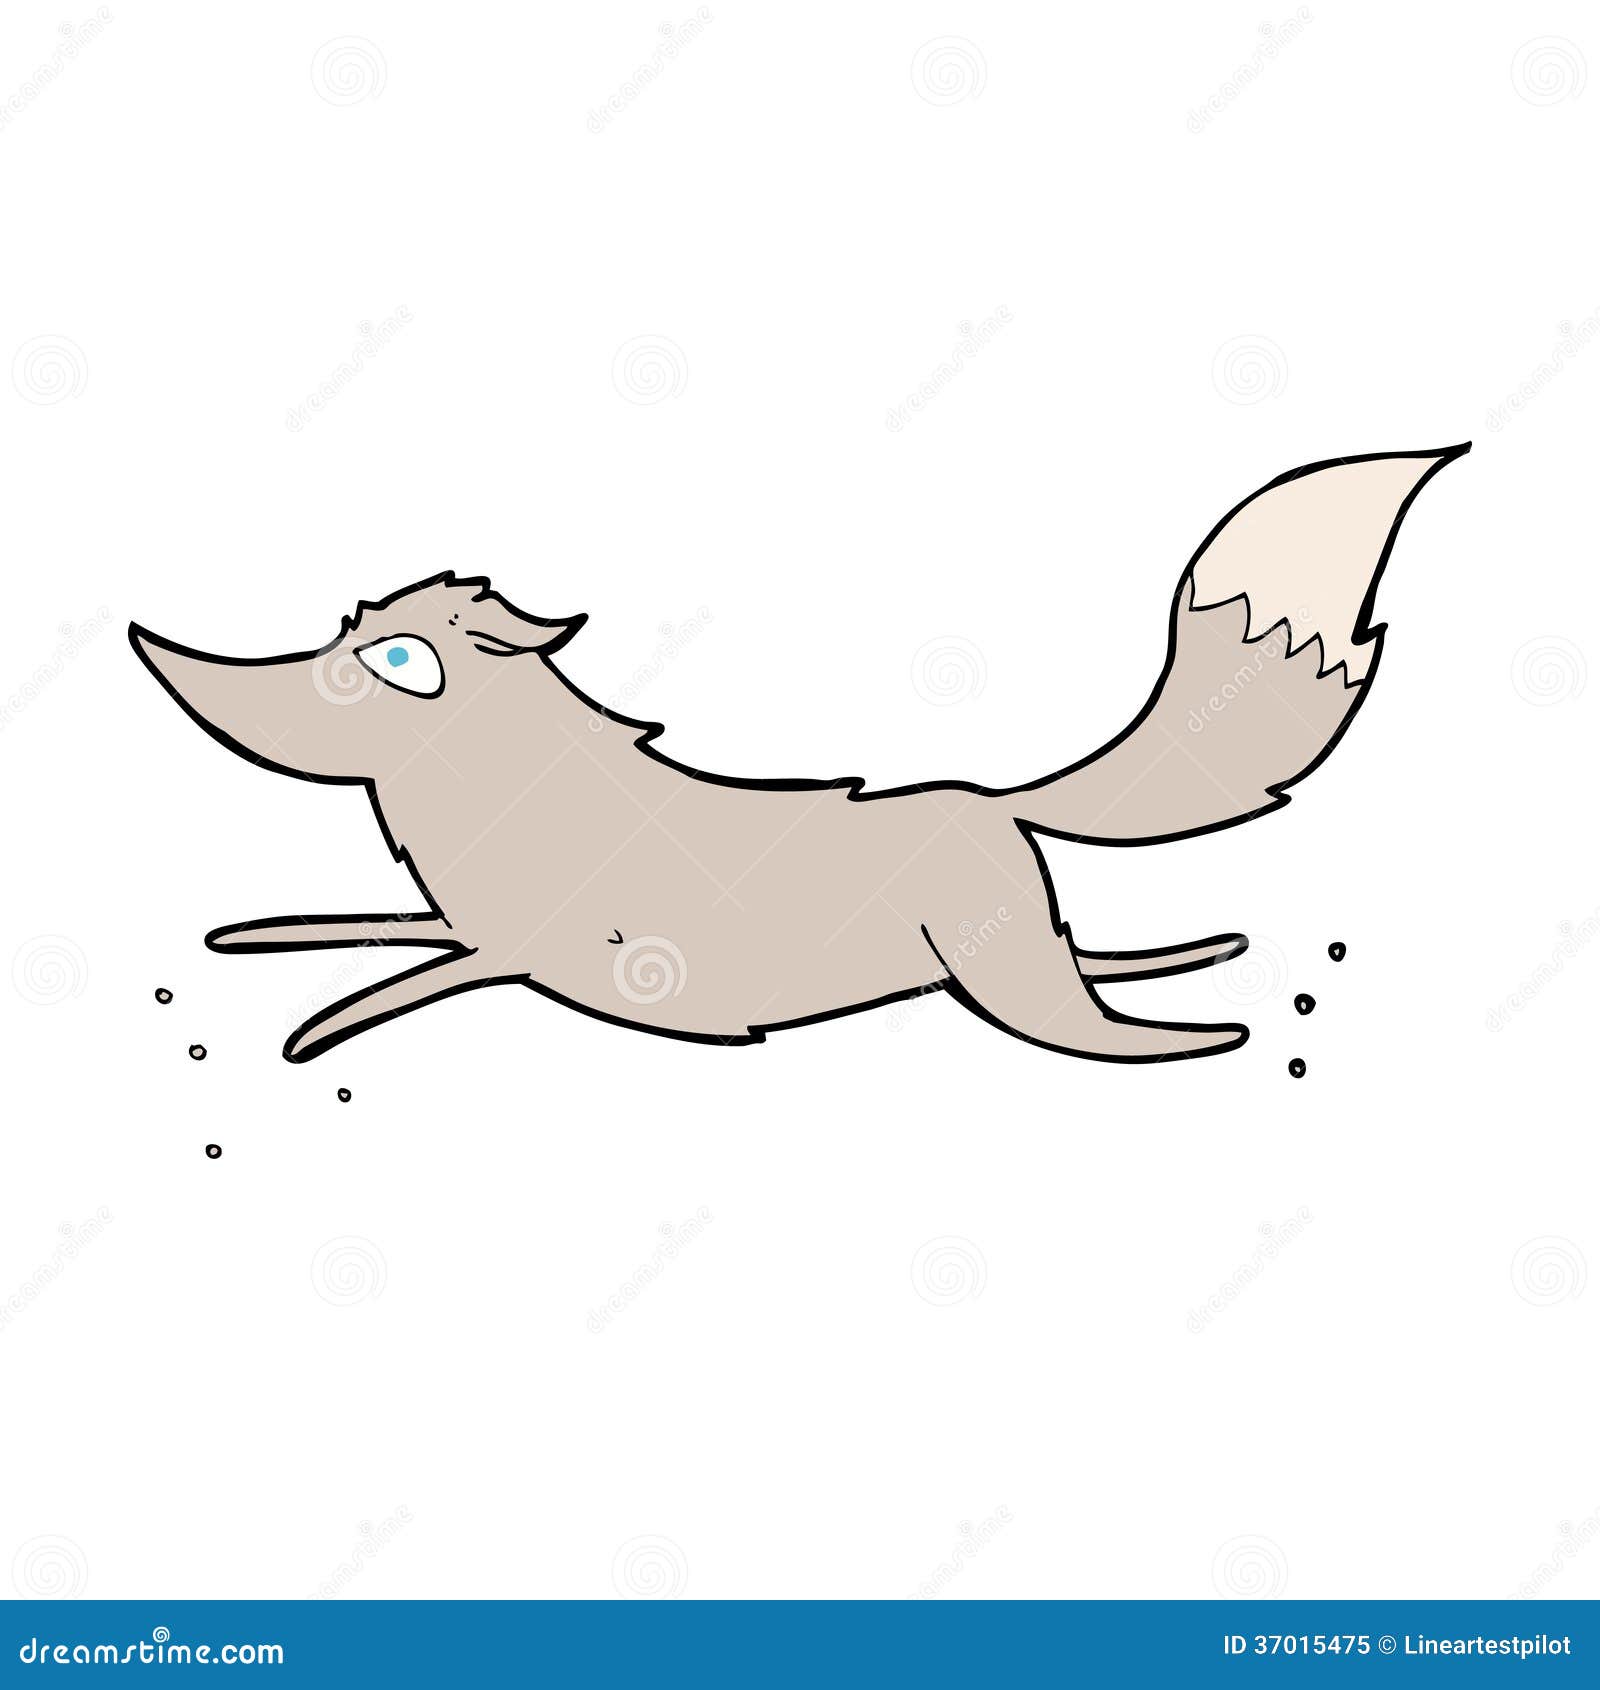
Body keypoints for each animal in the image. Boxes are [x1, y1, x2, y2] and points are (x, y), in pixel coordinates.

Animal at [130, 445, 1466, 1064]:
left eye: (400, 661)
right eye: (349, 631)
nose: (164, 661)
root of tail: (1001, 799)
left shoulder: (522, 951)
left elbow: (407, 974)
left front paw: (314, 1030)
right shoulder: (463, 921)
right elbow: (369, 926)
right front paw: (255, 938)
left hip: (1001, 973)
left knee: (1102, 1020)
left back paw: (1202, 1034)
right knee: (1108, 955)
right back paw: (1197, 958)